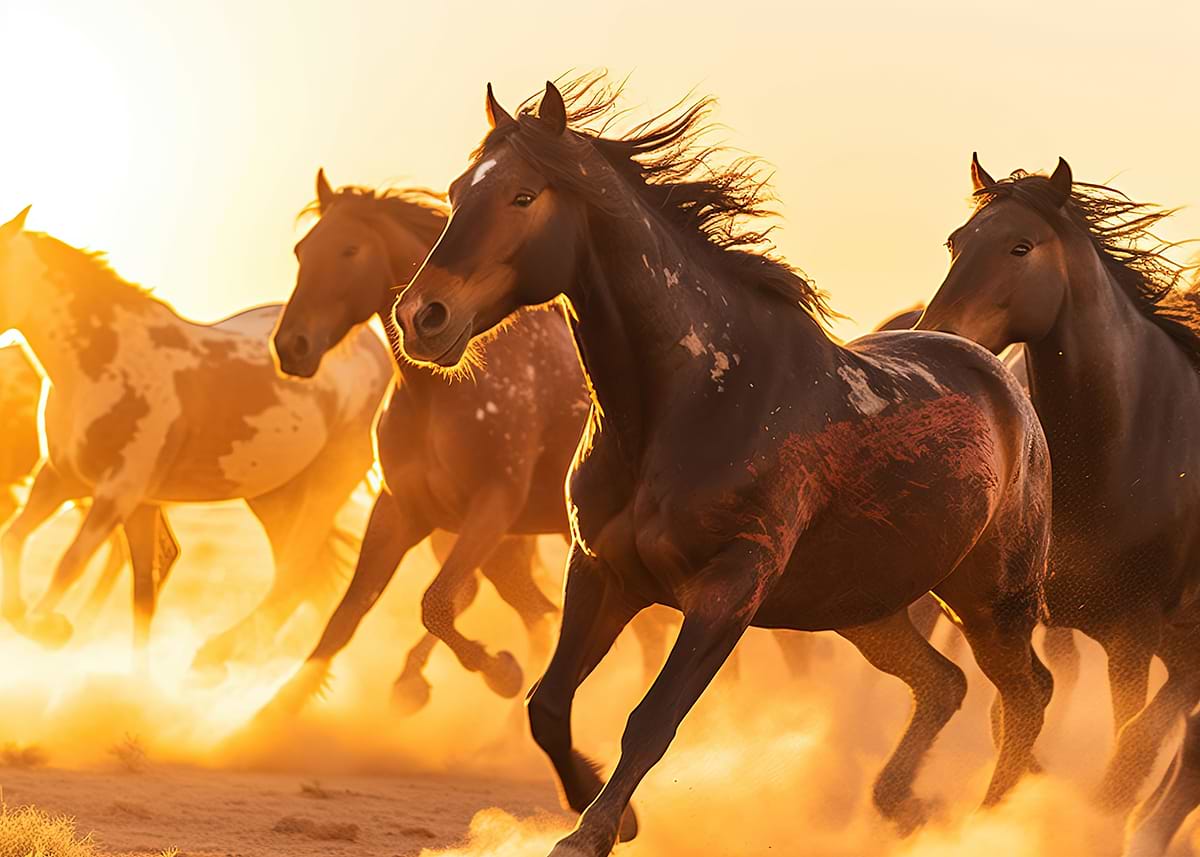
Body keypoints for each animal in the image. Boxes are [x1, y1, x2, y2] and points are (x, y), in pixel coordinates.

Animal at [0, 207, 389, 673]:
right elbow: (16, 542)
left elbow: (69, 564)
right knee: (293, 574)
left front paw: (50, 629)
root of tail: (375, 350)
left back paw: (225, 659)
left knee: (294, 574)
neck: (100, 363)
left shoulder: (116, 492)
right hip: (273, 496)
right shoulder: (63, 480)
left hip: (327, 483)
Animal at [392, 77, 1054, 856]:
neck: (694, 403)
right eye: (458, 189)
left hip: (992, 600)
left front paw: (590, 832)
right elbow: (546, 703)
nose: (422, 317)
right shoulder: (601, 571)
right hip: (866, 608)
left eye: (523, 195)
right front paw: (608, 811)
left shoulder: (731, 584)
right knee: (945, 683)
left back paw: (995, 823)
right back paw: (906, 805)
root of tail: (1008, 388)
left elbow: (651, 720)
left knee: (1025, 696)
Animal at [917, 156, 1200, 813]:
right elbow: (1012, 717)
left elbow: (1128, 743)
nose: (938, 335)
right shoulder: (1020, 618)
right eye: (955, 243)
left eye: (1021, 247)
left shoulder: (1131, 638)